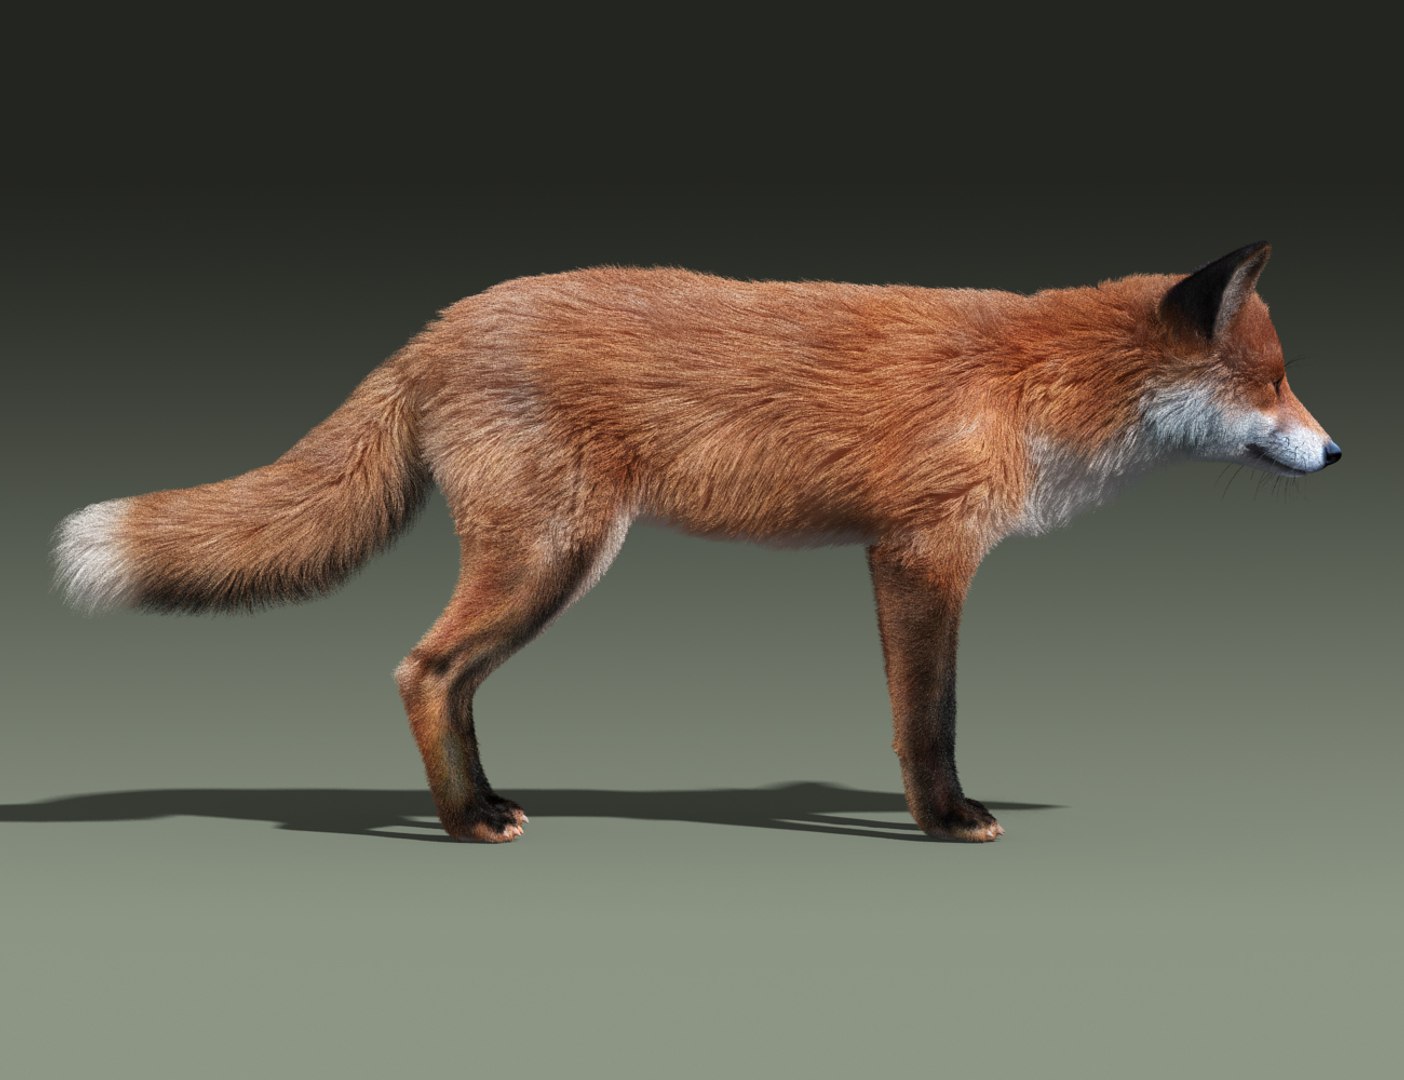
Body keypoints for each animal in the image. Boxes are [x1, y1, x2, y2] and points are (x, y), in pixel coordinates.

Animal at [53, 242, 1340, 844]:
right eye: (1272, 383)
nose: (1338, 455)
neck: (1030, 382)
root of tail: (437, 325)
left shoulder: (905, 555)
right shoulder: (920, 552)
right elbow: (927, 718)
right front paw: (944, 818)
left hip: (554, 565)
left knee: (450, 681)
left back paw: (488, 801)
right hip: (549, 559)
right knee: (423, 669)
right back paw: (464, 823)